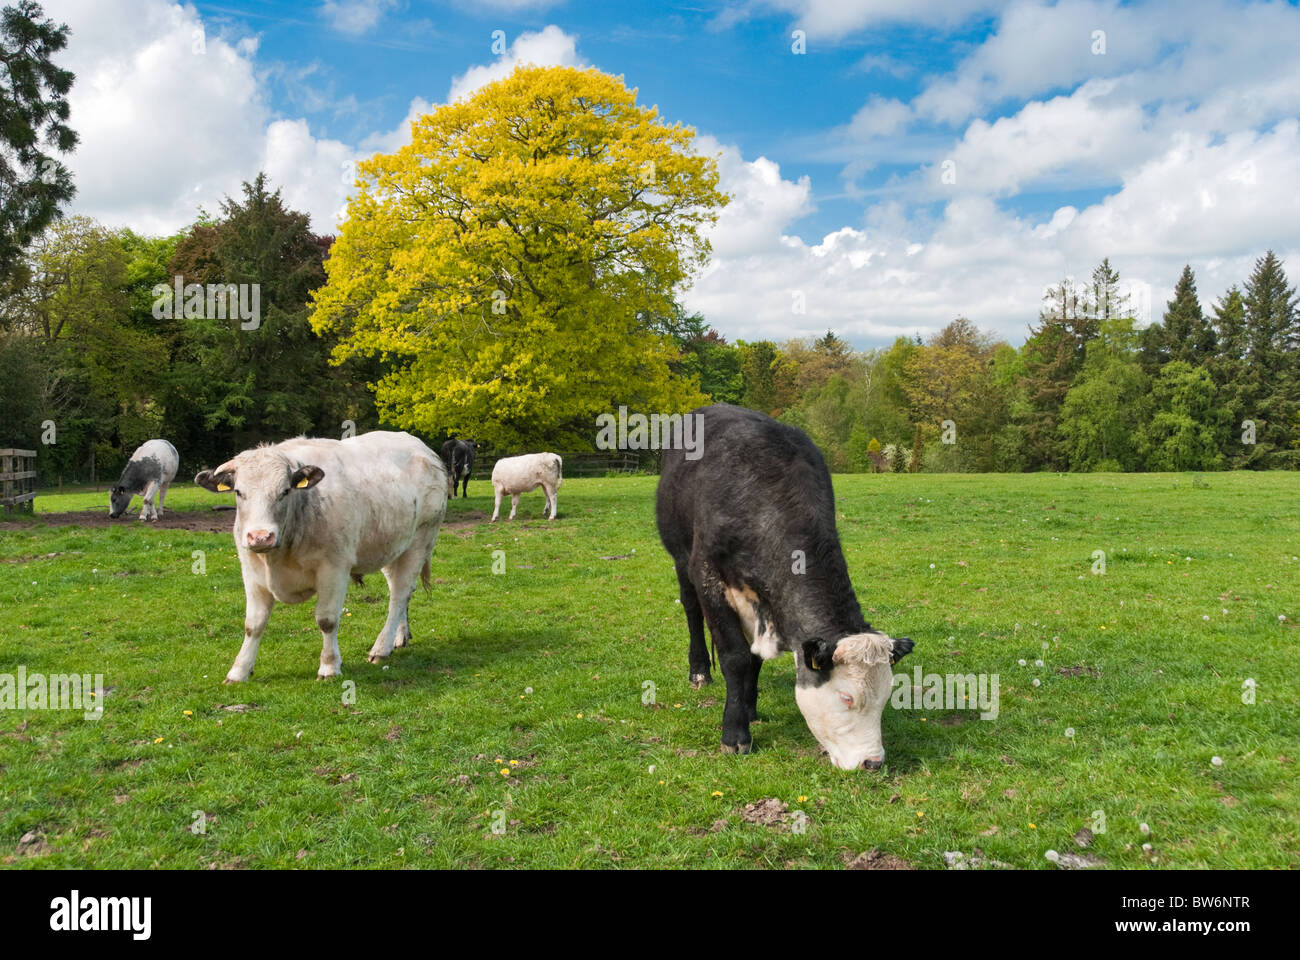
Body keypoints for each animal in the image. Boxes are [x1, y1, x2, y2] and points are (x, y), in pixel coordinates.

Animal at [194, 430, 448, 682]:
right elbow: (253, 624)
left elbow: (327, 620)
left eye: (285, 491)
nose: (260, 537)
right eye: (239, 492)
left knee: (399, 594)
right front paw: (239, 670)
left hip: (421, 539)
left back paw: (381, 648)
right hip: (392, 545)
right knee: (400, 590)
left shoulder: (334, 569)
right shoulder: (251, 570)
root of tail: (421, 448)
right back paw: (399, 636)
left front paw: (329, 666)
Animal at [656, 403, 914, 770]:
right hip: (679, 557)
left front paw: (749, 708)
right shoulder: (706, 573)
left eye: (887, 694)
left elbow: (753, 658)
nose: (873, 762)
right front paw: (735, 734)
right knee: (692, 612)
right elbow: (735, 656)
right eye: (846, 697)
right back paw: (700, 672)